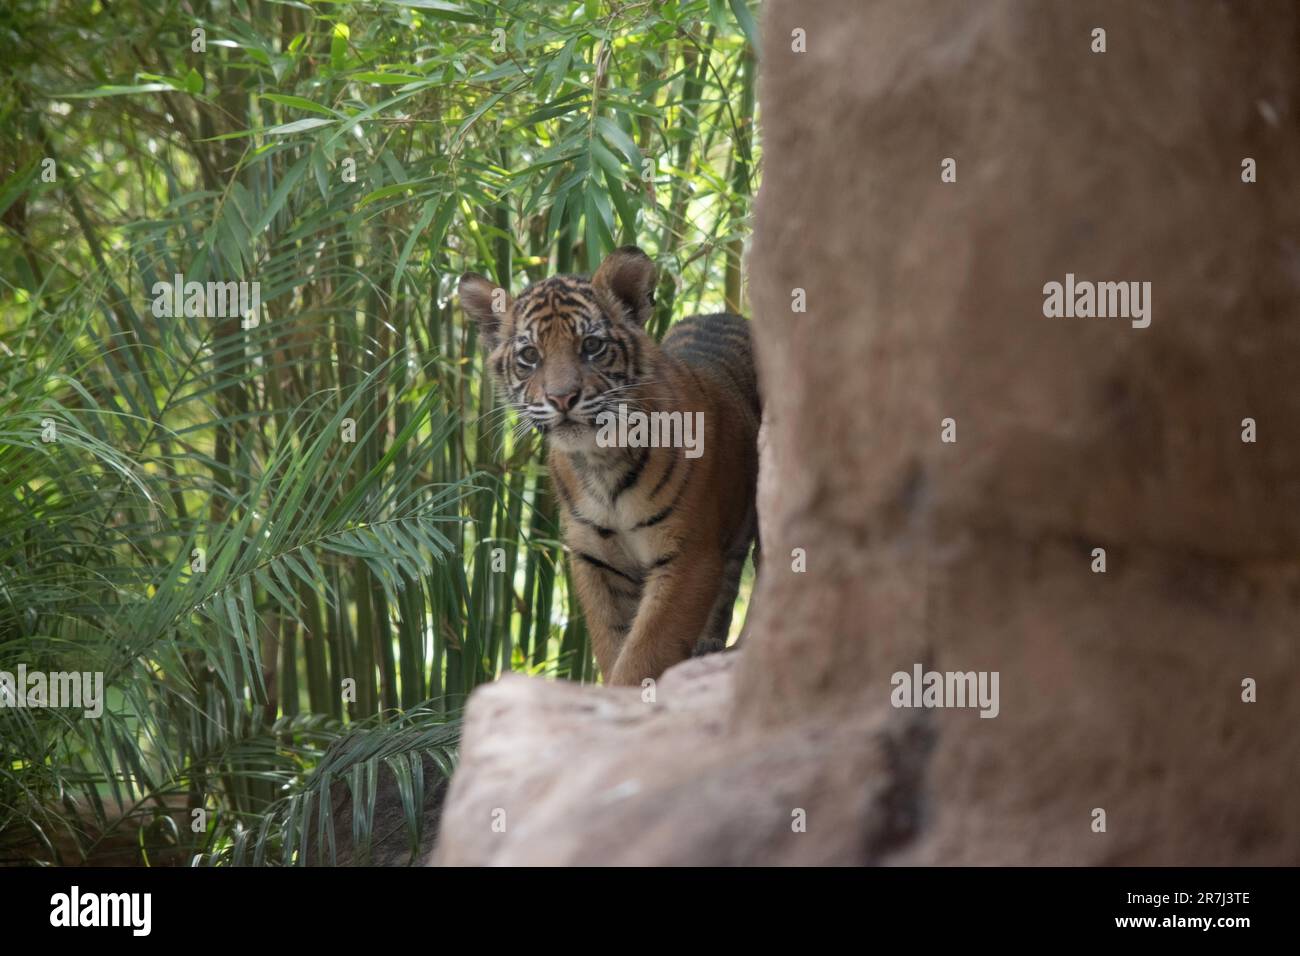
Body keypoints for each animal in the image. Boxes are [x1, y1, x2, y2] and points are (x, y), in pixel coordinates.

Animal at [459, 245, 761, 687]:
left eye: (591, 345)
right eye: (530, 355)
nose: (562, 398)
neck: (601, 461)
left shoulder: (688, 555)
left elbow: (645, 655)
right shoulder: (594, 558)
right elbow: (613, 643)